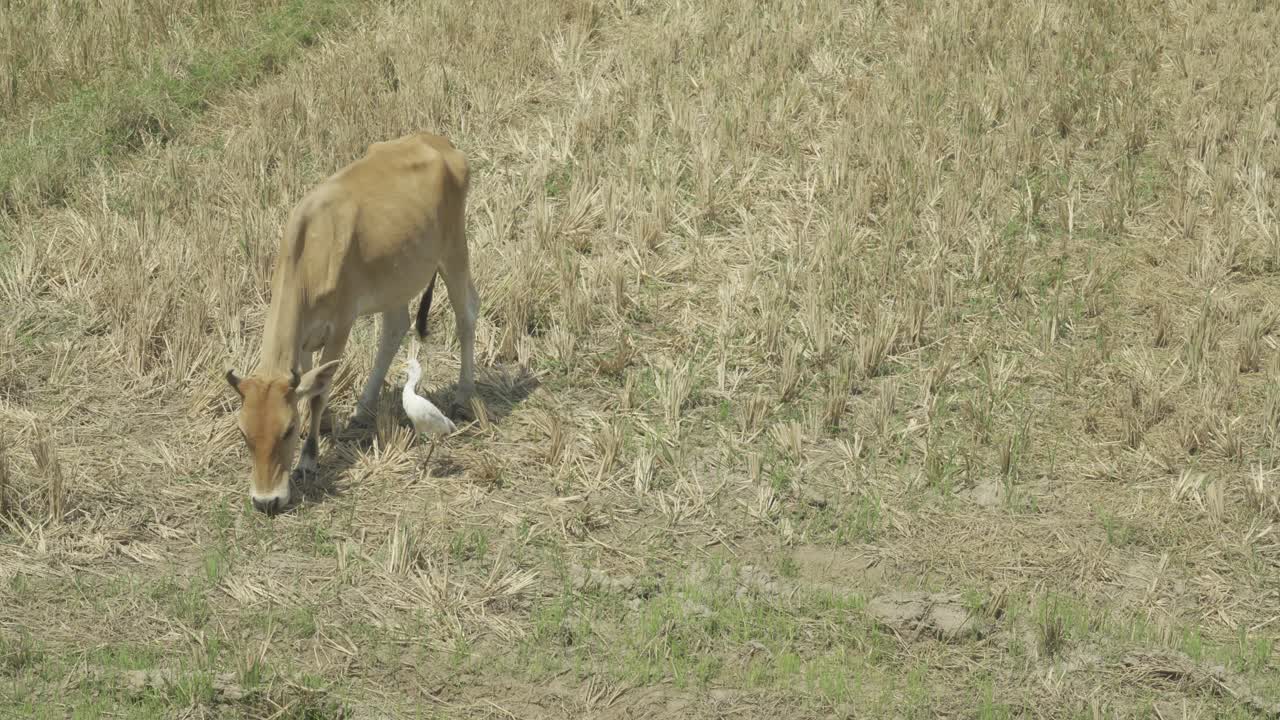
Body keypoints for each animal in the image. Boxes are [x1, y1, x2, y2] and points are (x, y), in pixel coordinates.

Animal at [224, 132, 478, 515]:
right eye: (244, 433)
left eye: (287, 429)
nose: (266, 501)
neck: (311, 250)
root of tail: (438, 141)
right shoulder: (304, 338)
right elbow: (310, 380)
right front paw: (325, 425)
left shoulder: (341, 324)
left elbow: (319, 393)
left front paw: (309, 459)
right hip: (397, 279)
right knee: (396, 326)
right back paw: (363, 407)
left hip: (453, 253)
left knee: (466, 316)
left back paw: (463, 396)